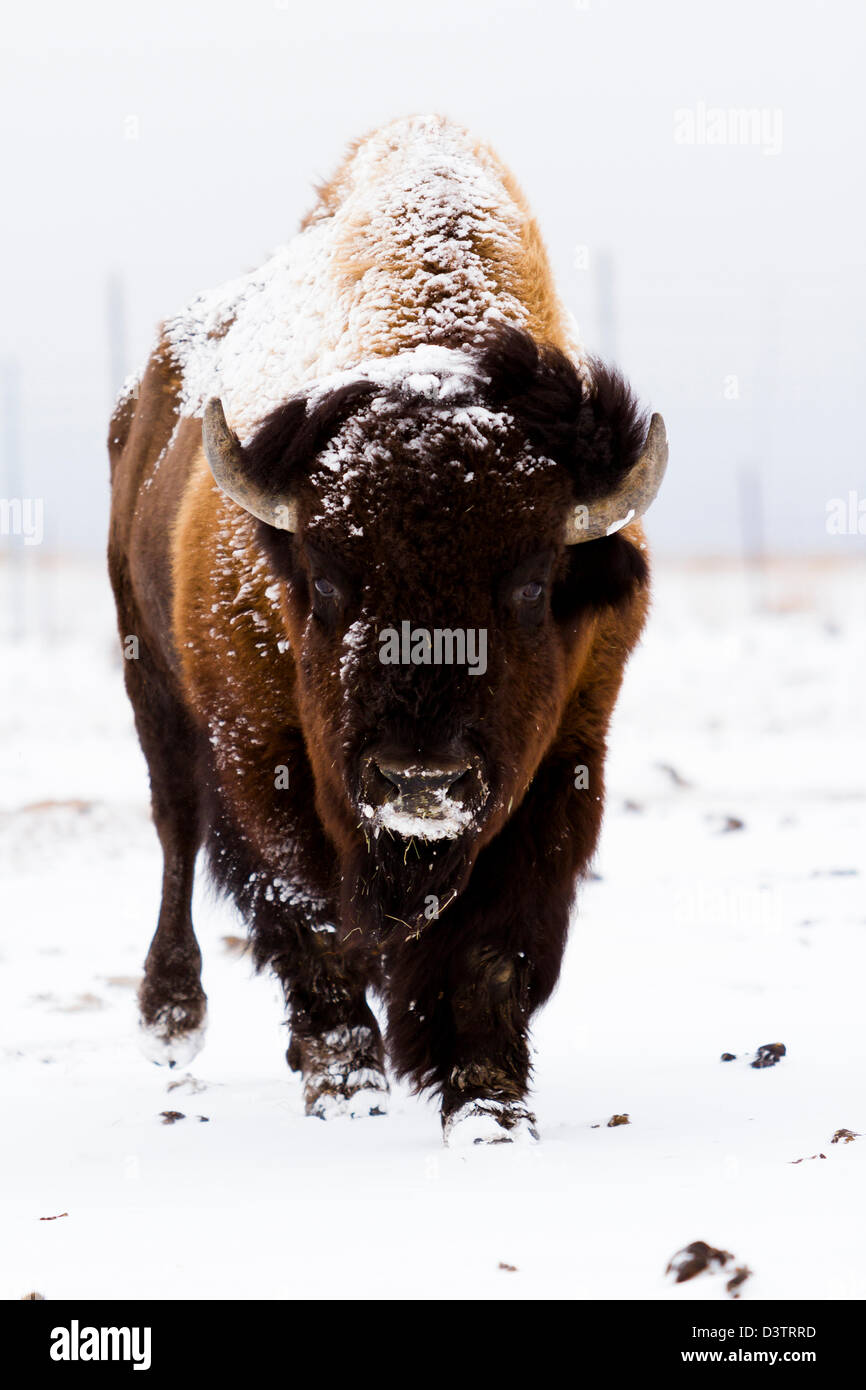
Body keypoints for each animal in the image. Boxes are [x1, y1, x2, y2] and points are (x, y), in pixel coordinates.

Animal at [108, 115, 666, 1144]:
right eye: (326, 580)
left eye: (534, 585)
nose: (421, 781)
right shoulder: (259, 752)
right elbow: (307, 913)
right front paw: (346, 1086)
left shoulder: (566, 756)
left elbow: (491, 943)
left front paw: (489, 1109)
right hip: (150, 680)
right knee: (175, 826)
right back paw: (172, 1021)